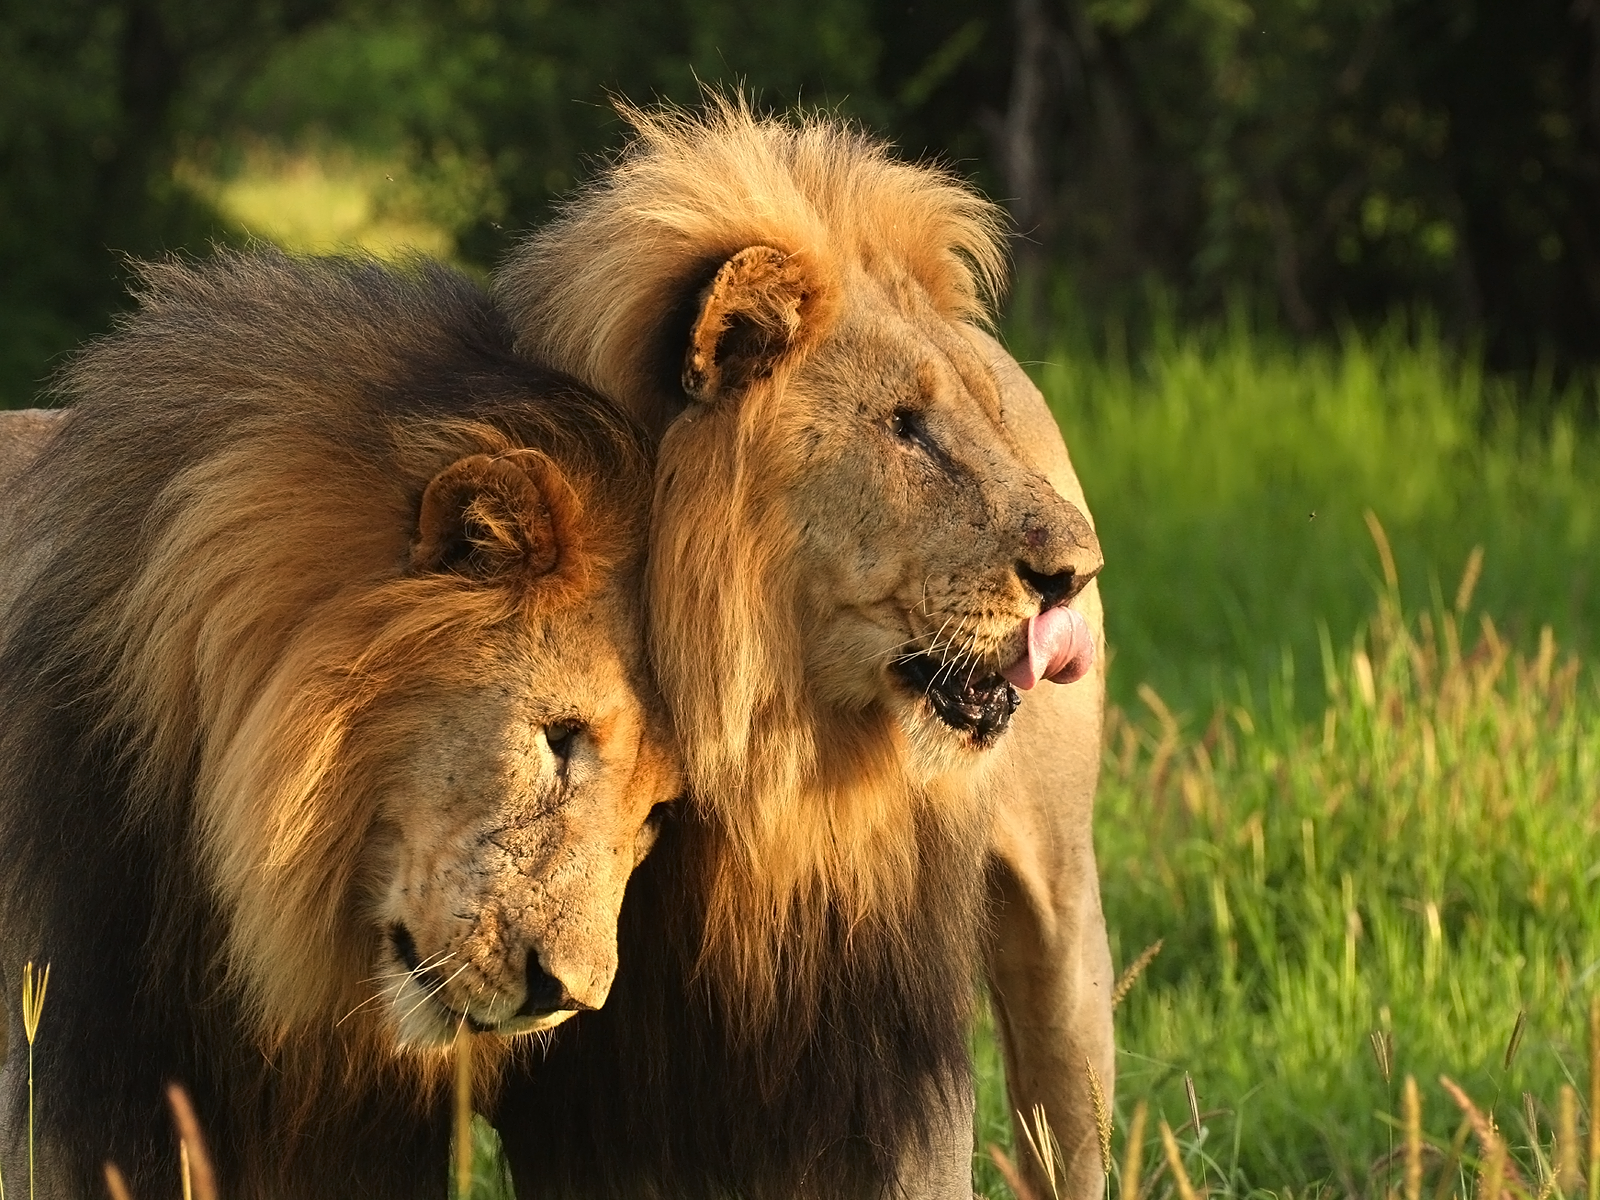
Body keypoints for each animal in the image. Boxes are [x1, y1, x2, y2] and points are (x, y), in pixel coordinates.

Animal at [489, 101, 1113, 1199]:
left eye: (982, 421)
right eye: (905, 427)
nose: (1076, 573)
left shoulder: (876, 1037)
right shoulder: (591, 1082)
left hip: (1059, 918)